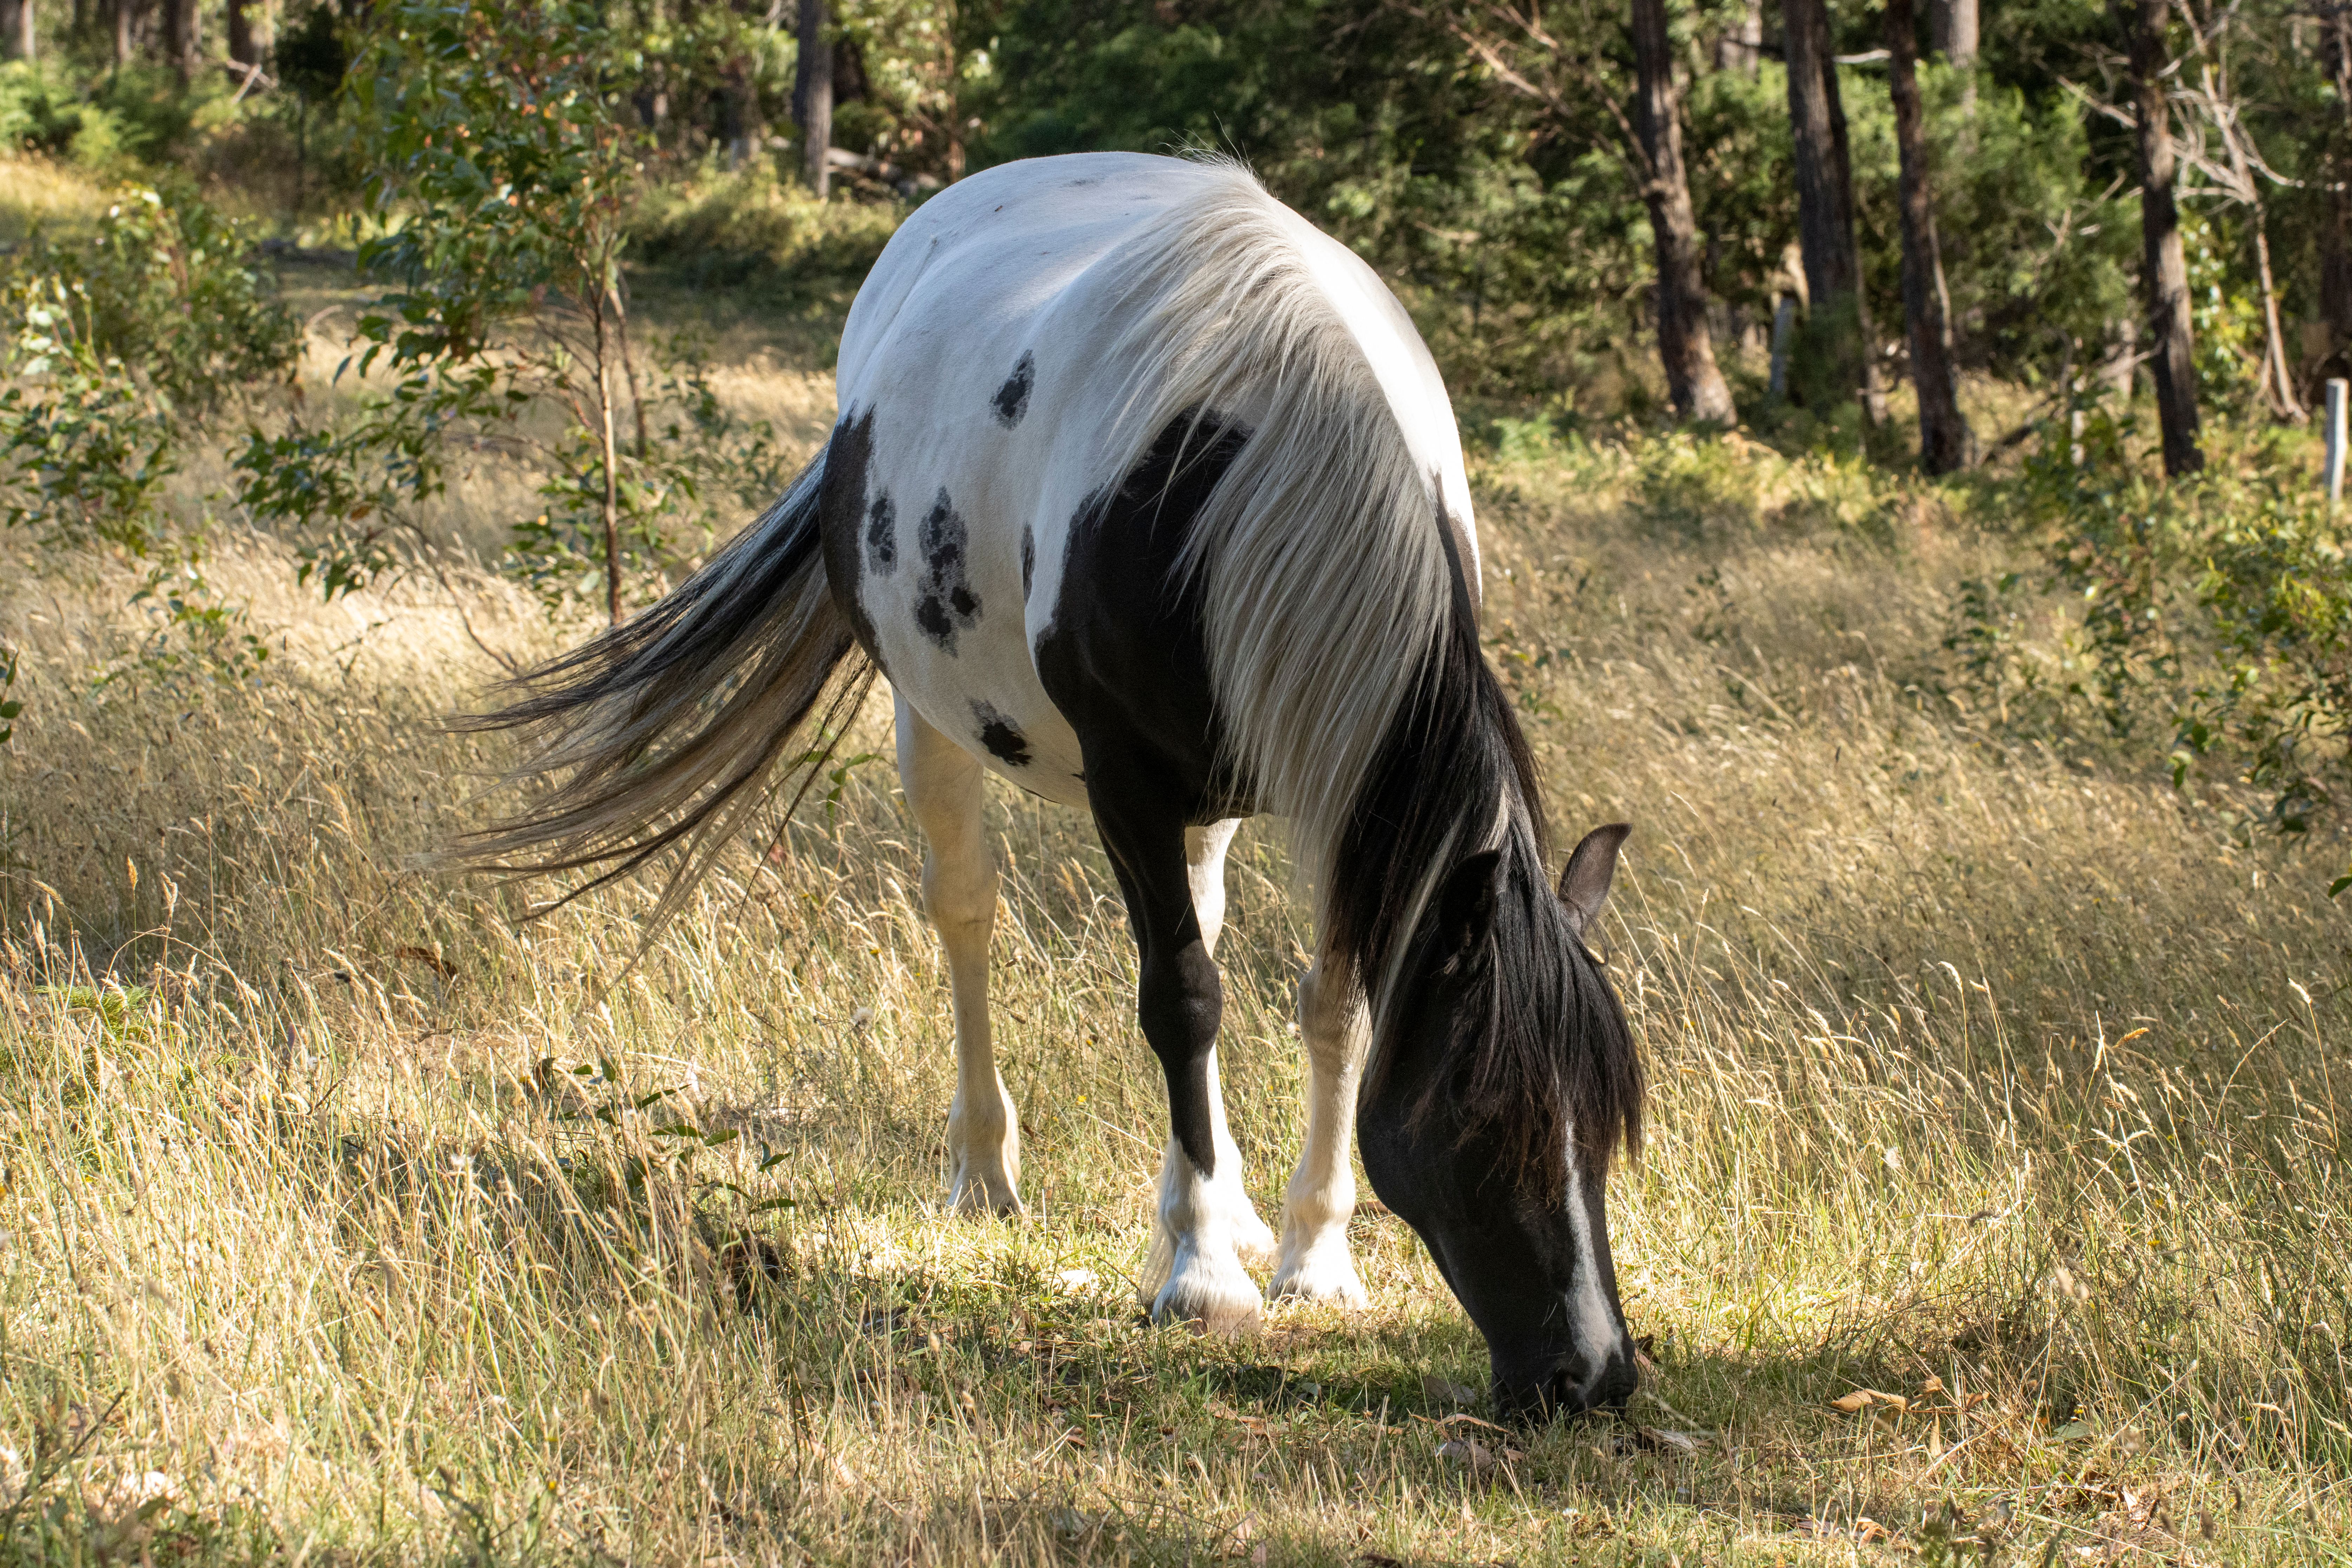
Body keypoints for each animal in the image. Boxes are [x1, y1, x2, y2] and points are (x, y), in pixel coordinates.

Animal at [448, 152, 1645, 1420]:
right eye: (1486, 1116)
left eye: (1606, 1120)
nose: (1592, 1374)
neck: (1243, 465)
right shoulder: (1128, 783)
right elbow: (1181, 1000)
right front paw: (1201, 1275)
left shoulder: (1342, 790)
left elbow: (1335, 1004)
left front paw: (1311, 1256)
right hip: (933, 724)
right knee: (968, 913)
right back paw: (986, 1171)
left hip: (1208, 802)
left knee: (1199, 923)